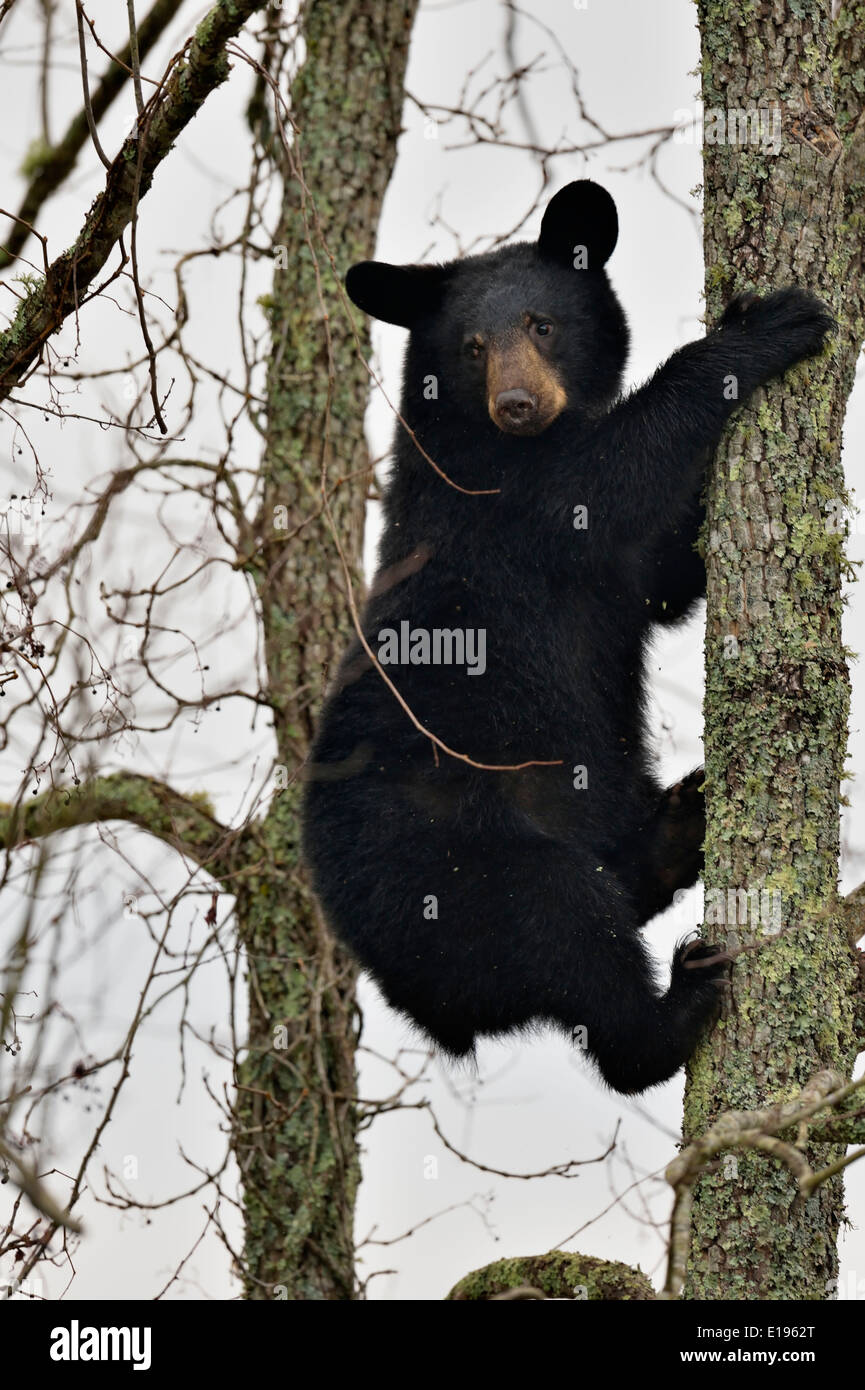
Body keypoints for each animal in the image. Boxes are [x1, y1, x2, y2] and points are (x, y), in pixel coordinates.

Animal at [301, 180, 833, 1094]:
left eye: (542, 324)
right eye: (473, 346)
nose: (517, 403)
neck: (492, 441)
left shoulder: (616, 569)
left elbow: (666, 575)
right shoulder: (507, 505)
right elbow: (613, 471)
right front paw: (767, 326)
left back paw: (678, 823)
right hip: (452, 861)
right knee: (566, 930)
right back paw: (675, 1007)